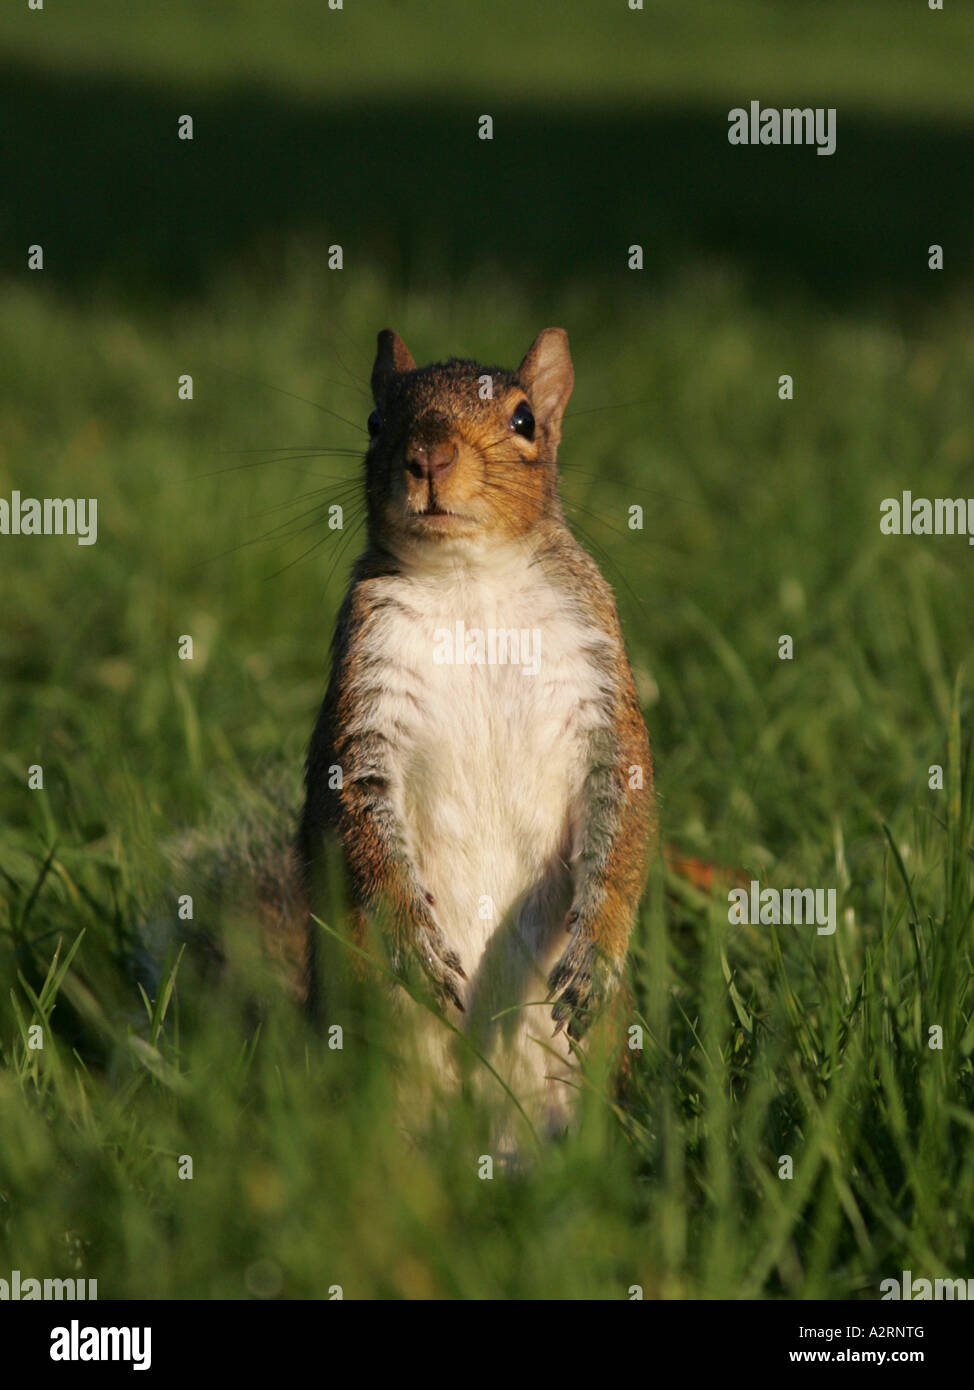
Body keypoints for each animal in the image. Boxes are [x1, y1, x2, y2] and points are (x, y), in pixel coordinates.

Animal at [297, 327, 656, 1140]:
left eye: (524, 420)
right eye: (376, 421)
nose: (429, 457)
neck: (471, 581)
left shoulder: (601, 696)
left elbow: (624, 811)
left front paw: (596, 953)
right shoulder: (364, 705)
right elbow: (361, 817)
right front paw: (415, 945)